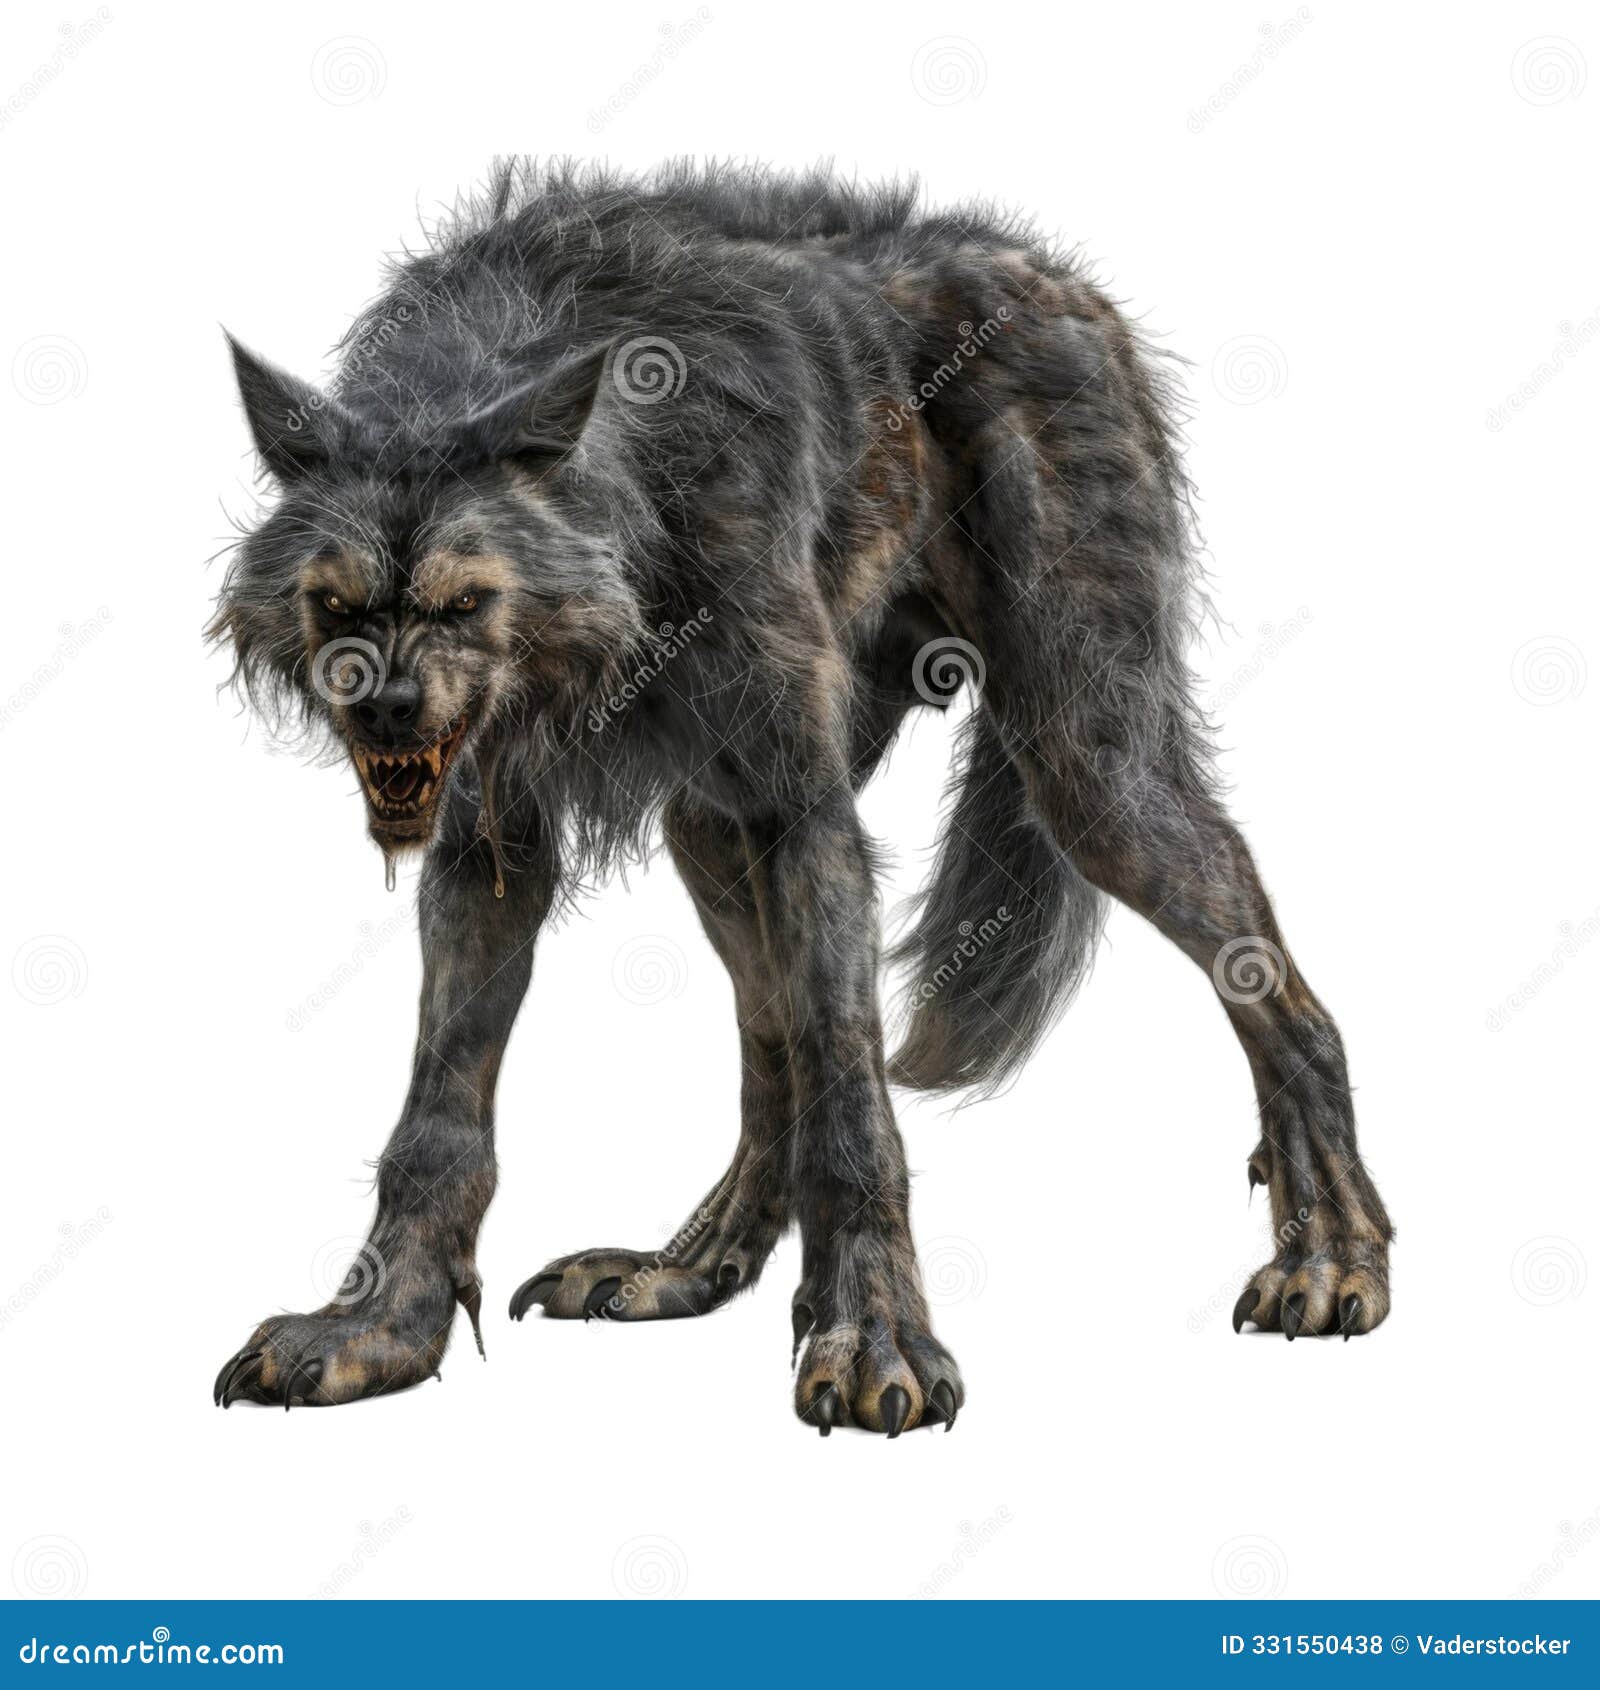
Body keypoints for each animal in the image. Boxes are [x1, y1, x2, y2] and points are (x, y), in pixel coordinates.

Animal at [210, 160, 1393, 1433]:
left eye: (465, 601)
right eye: (337, 605)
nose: (382, 708)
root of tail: (1058, 276)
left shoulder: (803, 816)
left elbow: (849, 1102)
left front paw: (875, 1341)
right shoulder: (490, 840)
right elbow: (438, 1115)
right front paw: (378, 1328)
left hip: (1086, 770)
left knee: (1273, 979)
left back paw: (1332, 1256)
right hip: (709, 828)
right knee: (765, 1046)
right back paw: (684, 1267)